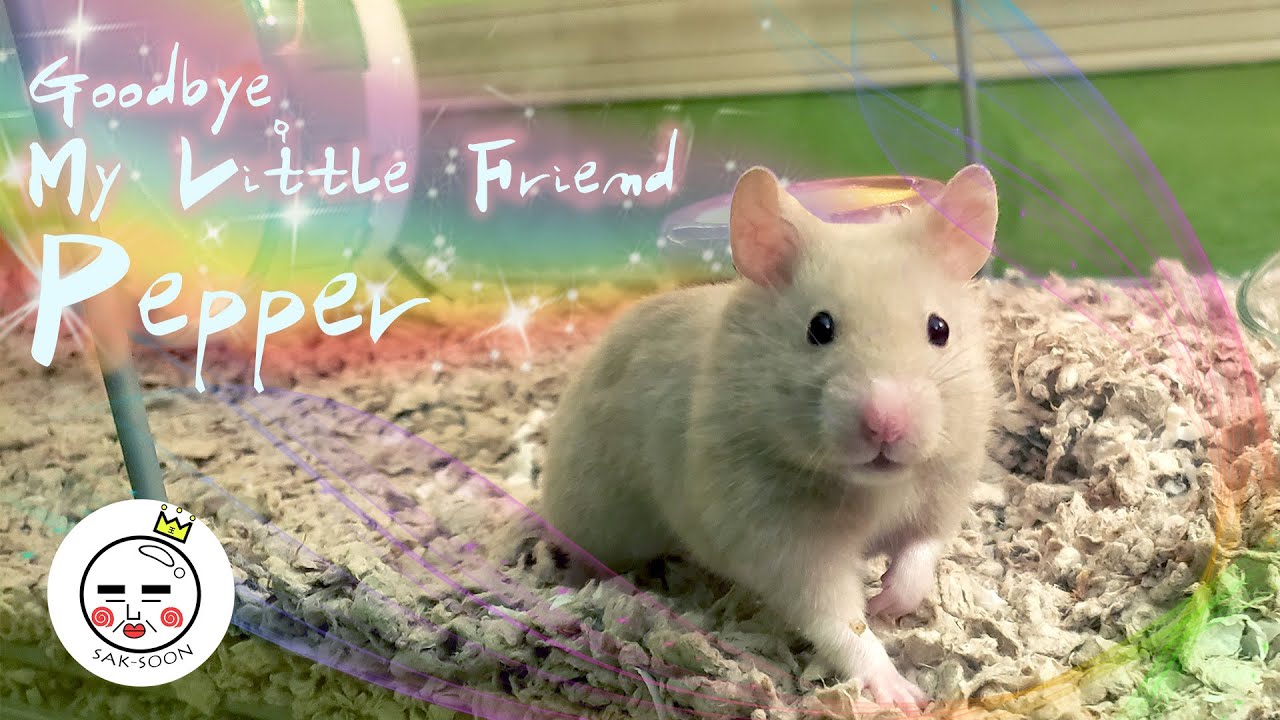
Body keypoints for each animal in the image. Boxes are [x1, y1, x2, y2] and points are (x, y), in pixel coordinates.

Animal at [539, 164, 997, 711]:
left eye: (939, 328)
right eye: (819, 328)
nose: (885, 424)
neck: (873, 488)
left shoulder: (944, 491)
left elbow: (919, 554)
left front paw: (887, 603)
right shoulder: (781, 542)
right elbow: (840, 621)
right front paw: (904, 697)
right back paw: (564, 596)